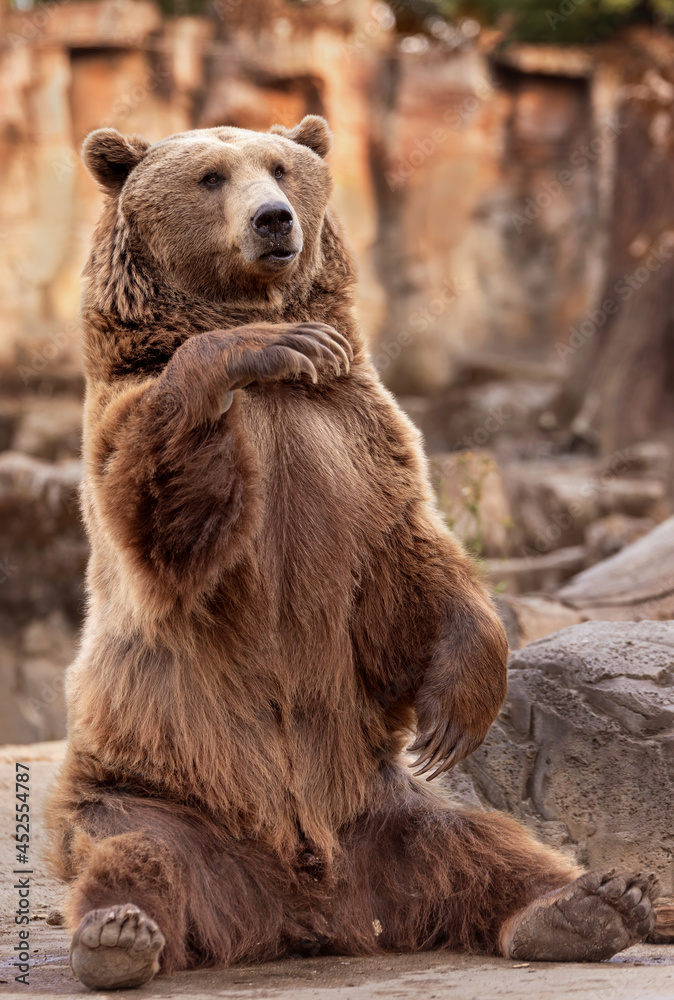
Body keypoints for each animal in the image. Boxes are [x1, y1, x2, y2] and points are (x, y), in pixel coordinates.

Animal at [46, 116, 658, 991]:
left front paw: (455, 713)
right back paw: (117, 936)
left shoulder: (357, 434)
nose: (274, 220)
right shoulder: (126, 425)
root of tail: (305, 911)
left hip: (379, 806)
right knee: (138, 853)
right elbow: (171, 524)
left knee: (479, 843)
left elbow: (411, 559)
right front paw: (258, 345)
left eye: (281, 167)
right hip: (156, 783)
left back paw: (591, 903)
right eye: (209, 176)